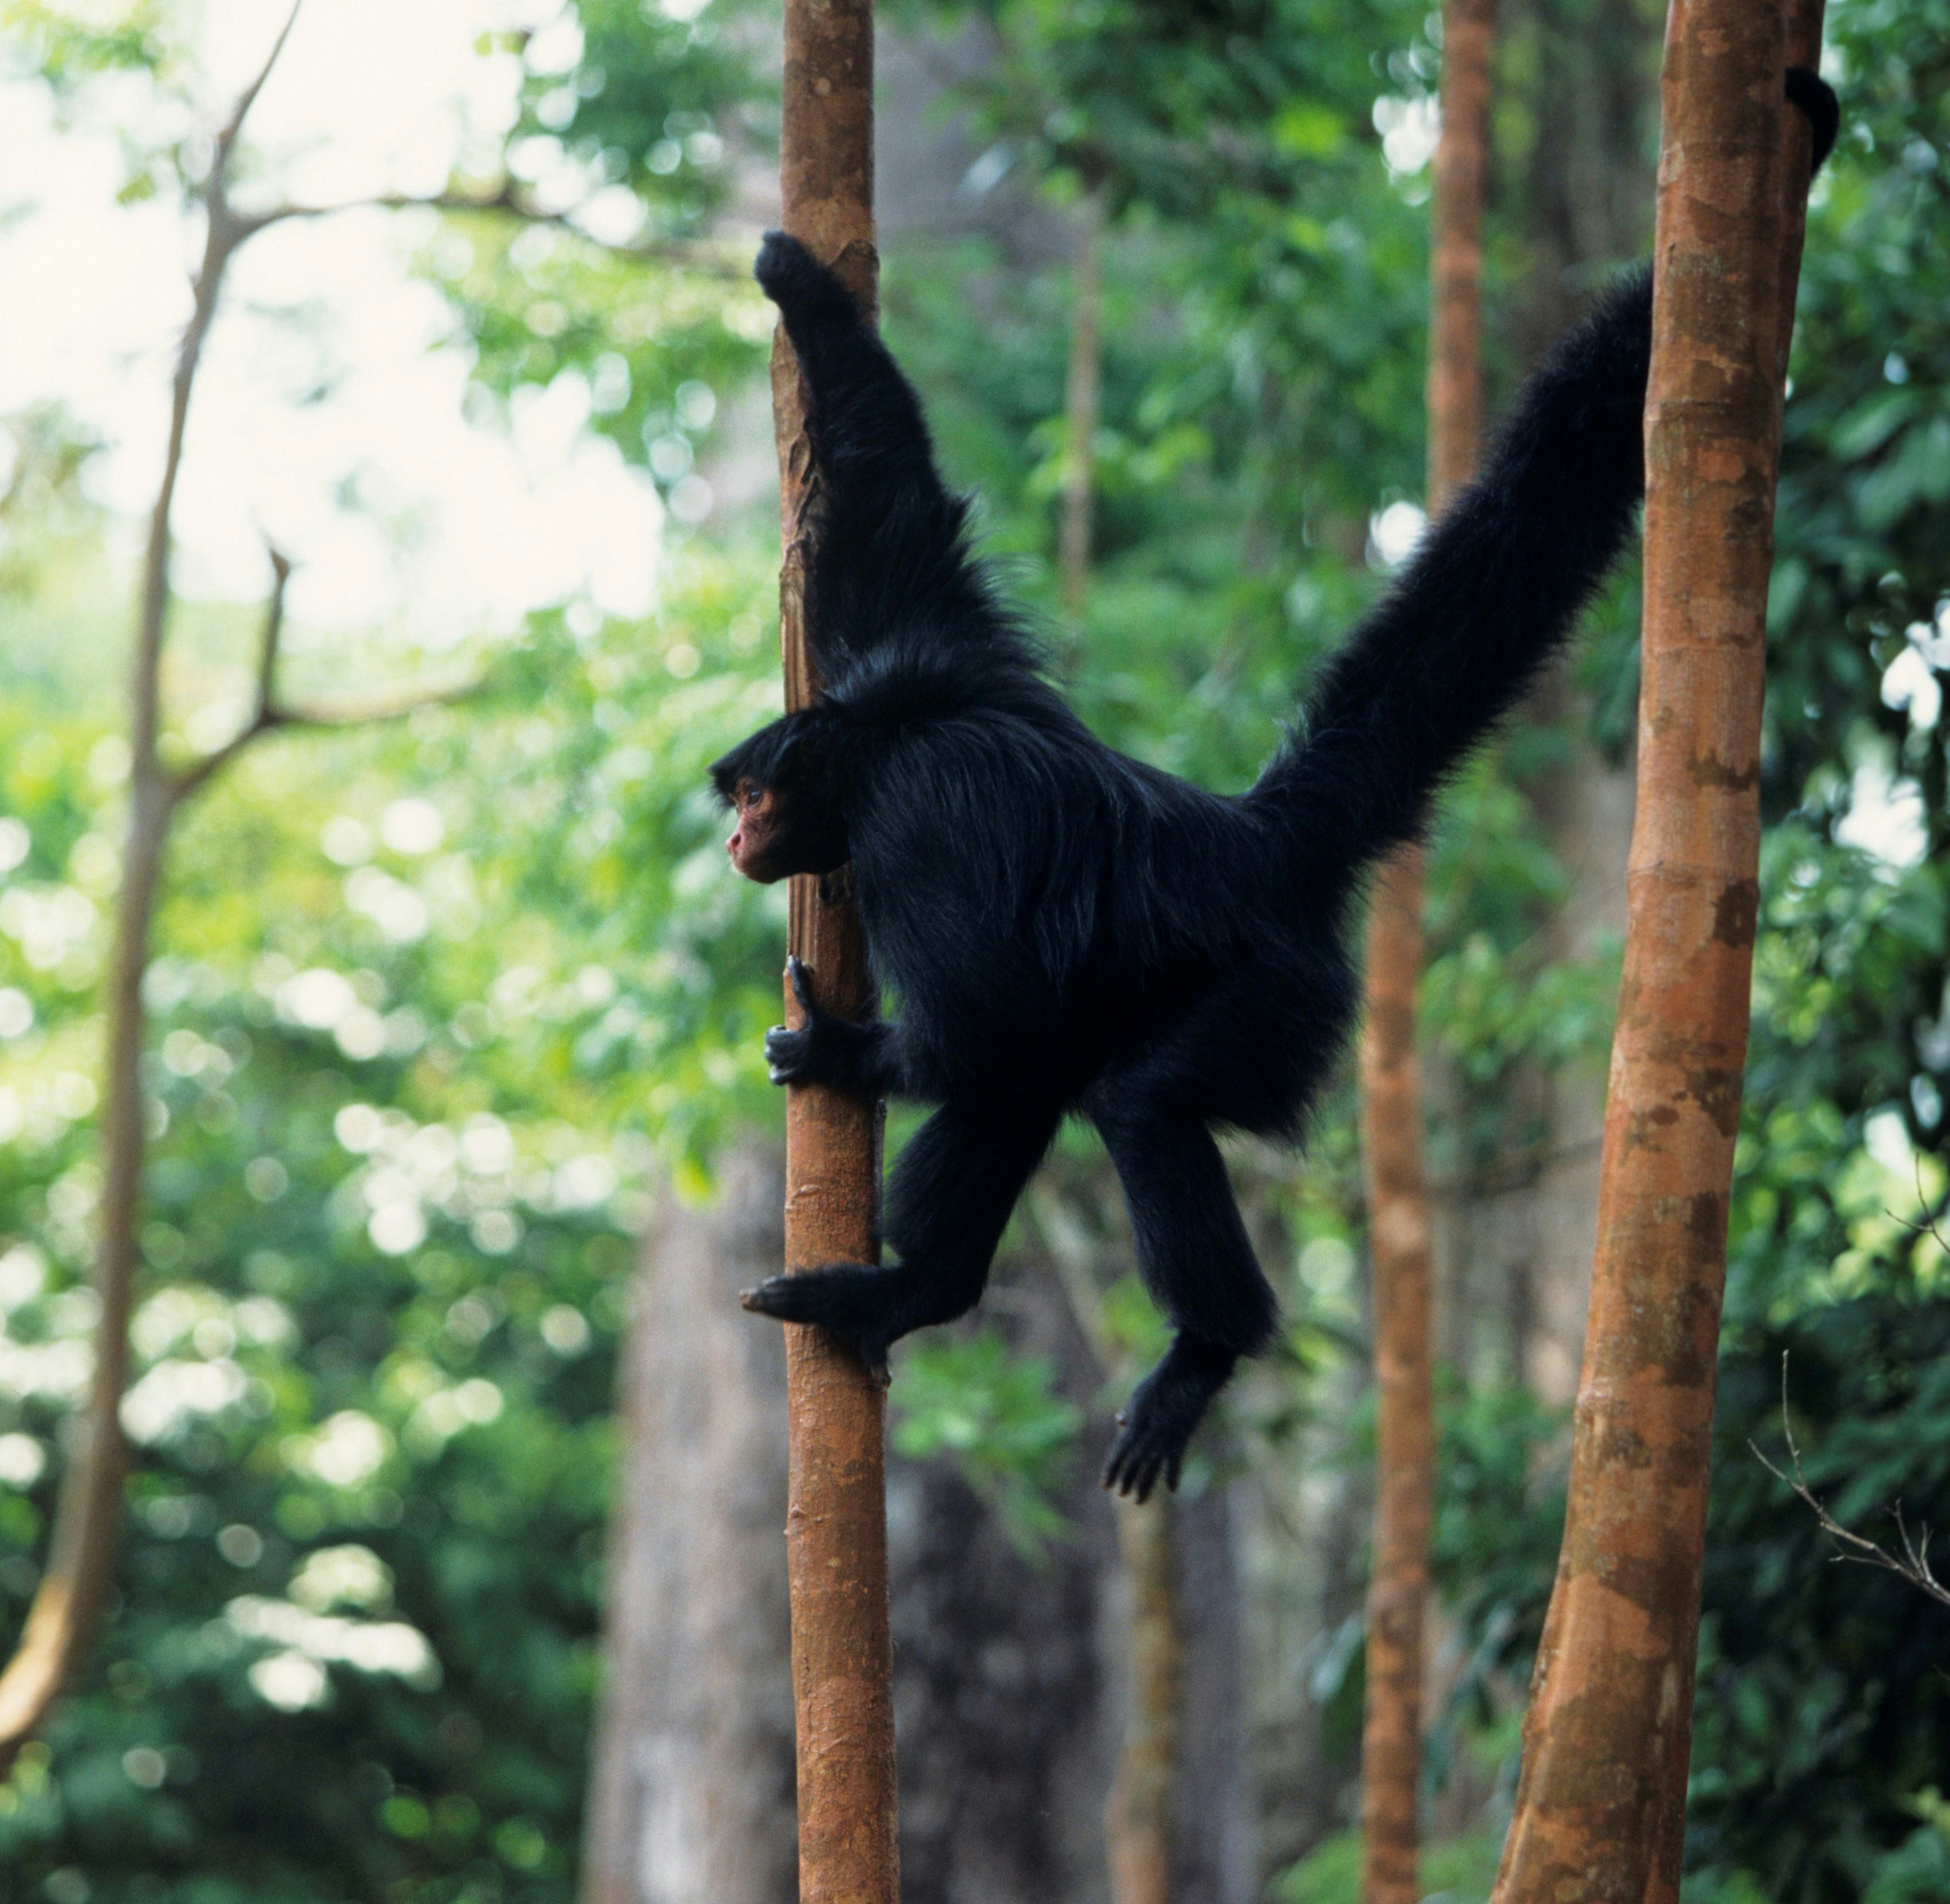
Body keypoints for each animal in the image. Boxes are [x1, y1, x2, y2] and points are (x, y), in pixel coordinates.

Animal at [715, 74, 1837, 1503]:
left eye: (753, 801)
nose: (744, 838)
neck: (884, 737)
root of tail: (1250, 841)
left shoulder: (917, 817)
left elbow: (983, 1022)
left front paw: (842, 1048)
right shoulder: (924, 651)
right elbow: (884, 494)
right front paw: (804, 292)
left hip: (1276, 995)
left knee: (1124, 1096)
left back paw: (1196, 1345)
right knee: (1053, 1074)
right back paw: (928, 1291)